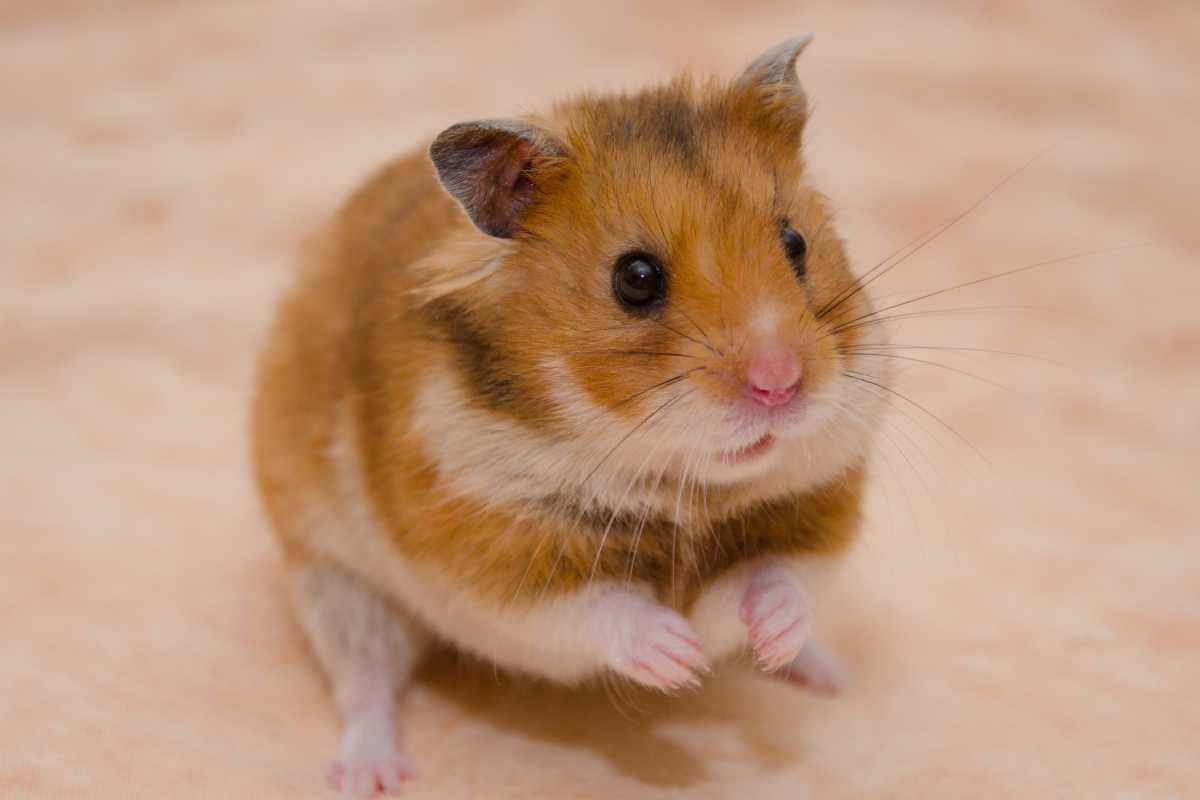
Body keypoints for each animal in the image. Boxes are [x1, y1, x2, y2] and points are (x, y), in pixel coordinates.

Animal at [252, 35, 888, 797]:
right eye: (635, 278)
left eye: (796, 244)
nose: (780, 385)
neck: (682, 485)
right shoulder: (490, 556)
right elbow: (602, 607)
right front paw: (679, 657)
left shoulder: (814, 511)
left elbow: (775, 577)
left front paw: (762, 634)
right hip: (335, 582)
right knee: (365, 683)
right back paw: (368, 775)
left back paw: (826, 673)